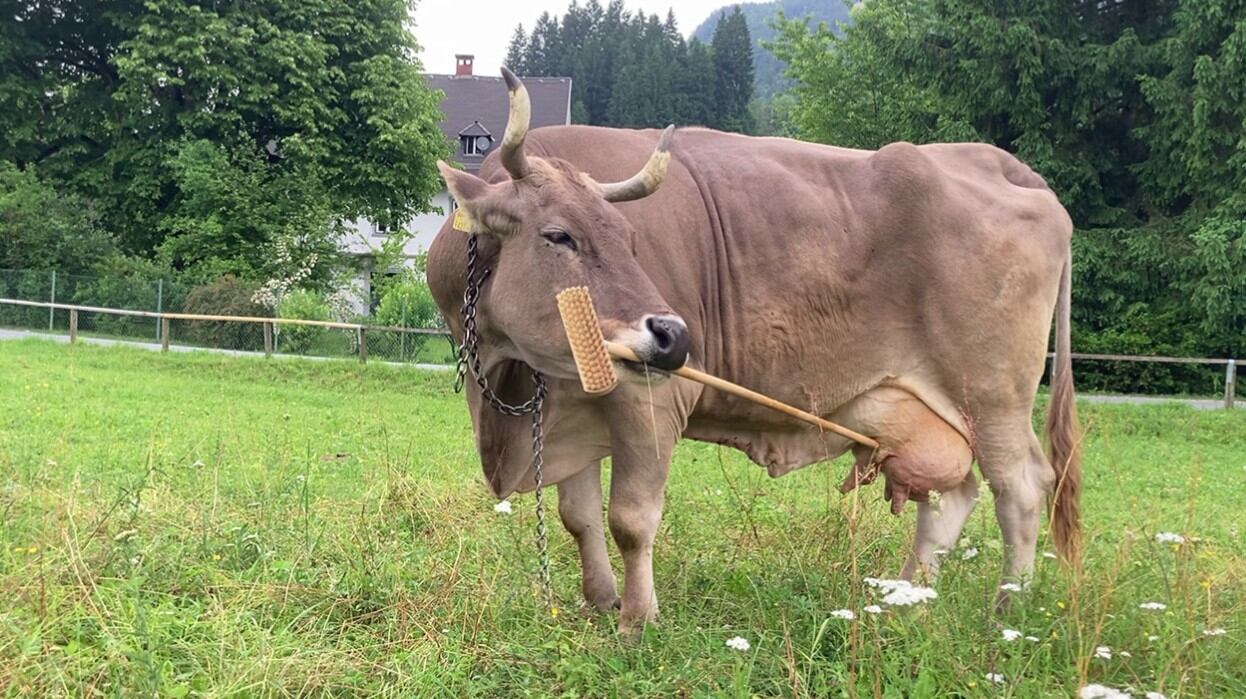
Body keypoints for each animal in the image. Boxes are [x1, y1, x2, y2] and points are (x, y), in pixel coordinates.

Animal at [428, 69, 1080, 633]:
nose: (675, 335)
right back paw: (905, 599)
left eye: (632, 239)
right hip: (923, 412)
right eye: (559, 235)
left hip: (992, 397)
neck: (508, 378)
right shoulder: (570, 408)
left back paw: (1008, 612)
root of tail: (1000, 163)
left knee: (1022, 489)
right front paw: (600, 603)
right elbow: (579, 517)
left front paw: (637, 622)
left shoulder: (651, 405)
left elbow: (630, 521)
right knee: (952, 496)